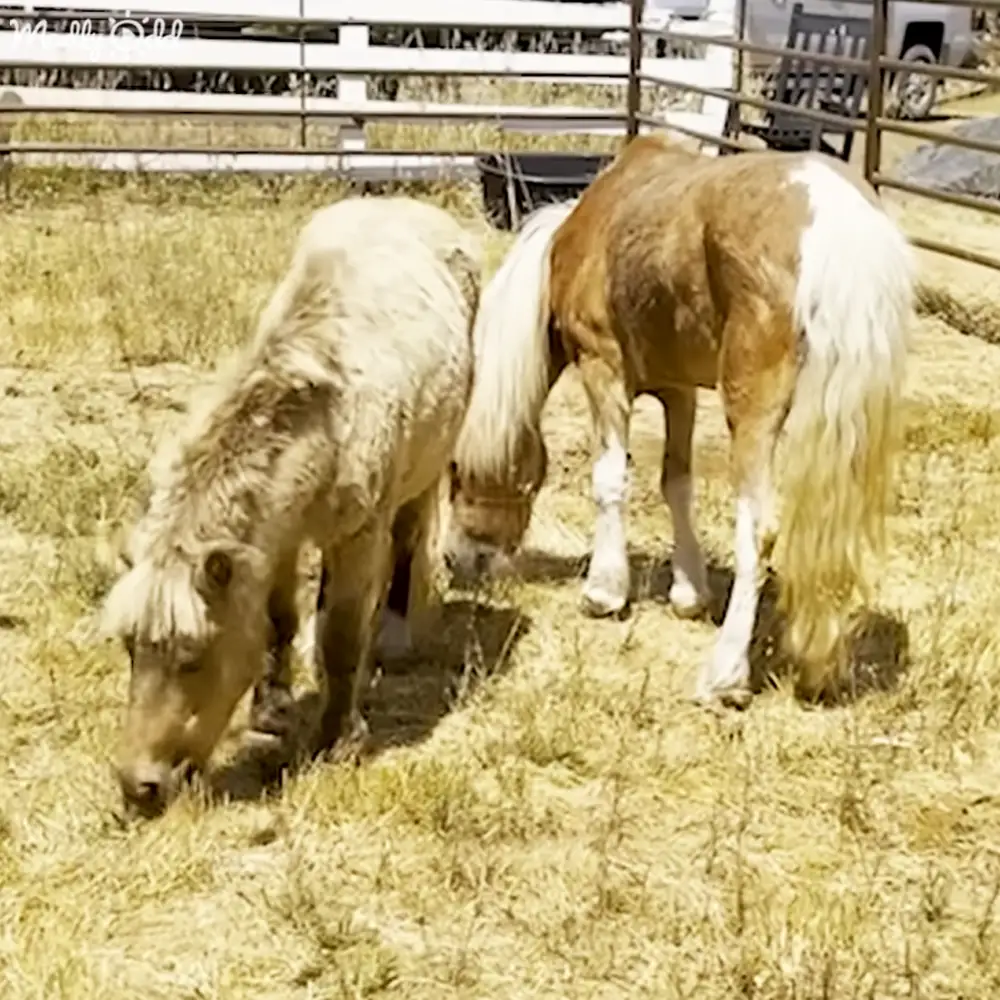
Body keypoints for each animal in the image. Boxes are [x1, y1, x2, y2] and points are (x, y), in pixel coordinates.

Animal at [102, 195, 483, 817]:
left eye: (193, 657)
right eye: (130, 649)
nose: (139, 788)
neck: (326, 420)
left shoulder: (356, 537)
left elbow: (340, 635)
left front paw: (335, 740)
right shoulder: (273, 541)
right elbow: (279, 620)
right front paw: (272, 710)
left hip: (424, 470)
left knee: (407, 540)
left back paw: (395, 638)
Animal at [446, 134, 915, 708]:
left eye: (453, 472)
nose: (460, 562)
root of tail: (835, 222)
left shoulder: (603, 366)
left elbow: (610, 479)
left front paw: (605, 590)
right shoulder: (678, 390)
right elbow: (676, 481)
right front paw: (688, 591)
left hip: (753, 407)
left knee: (759, 529)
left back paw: (726, 674)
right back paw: (818, 662)